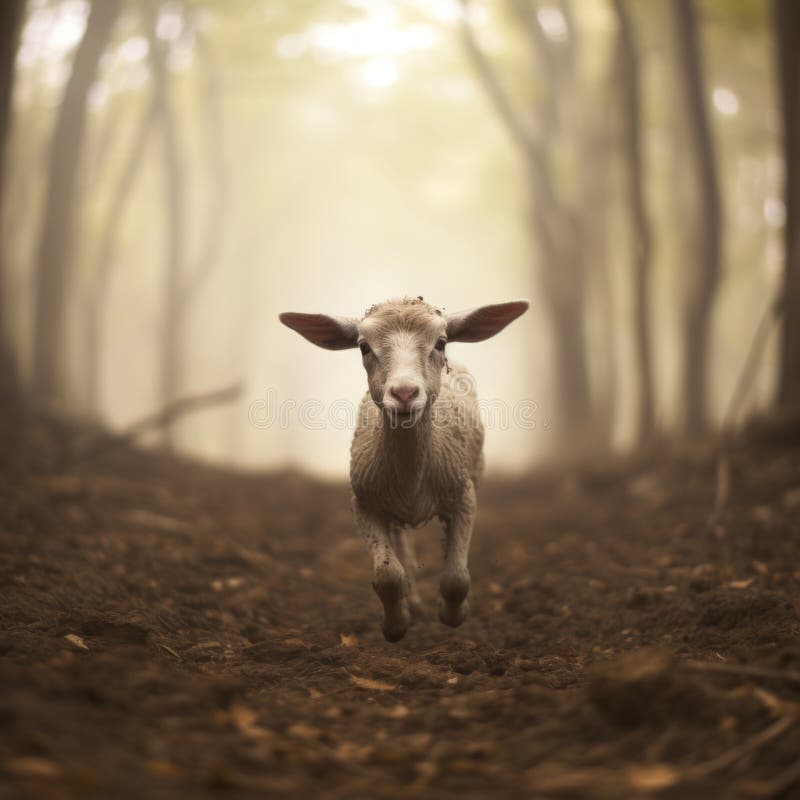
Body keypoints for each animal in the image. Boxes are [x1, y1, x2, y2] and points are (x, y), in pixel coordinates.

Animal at [279, 296, 529, 641]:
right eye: (363, 347)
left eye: (441, 342)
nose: (405, 393)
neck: (413, 477)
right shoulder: (364, 502)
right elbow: (388, 575)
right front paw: (396, 626)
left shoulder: (464, 495)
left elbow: (456, 578)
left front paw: (453, 615)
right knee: (402, 546)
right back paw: (414, 602)